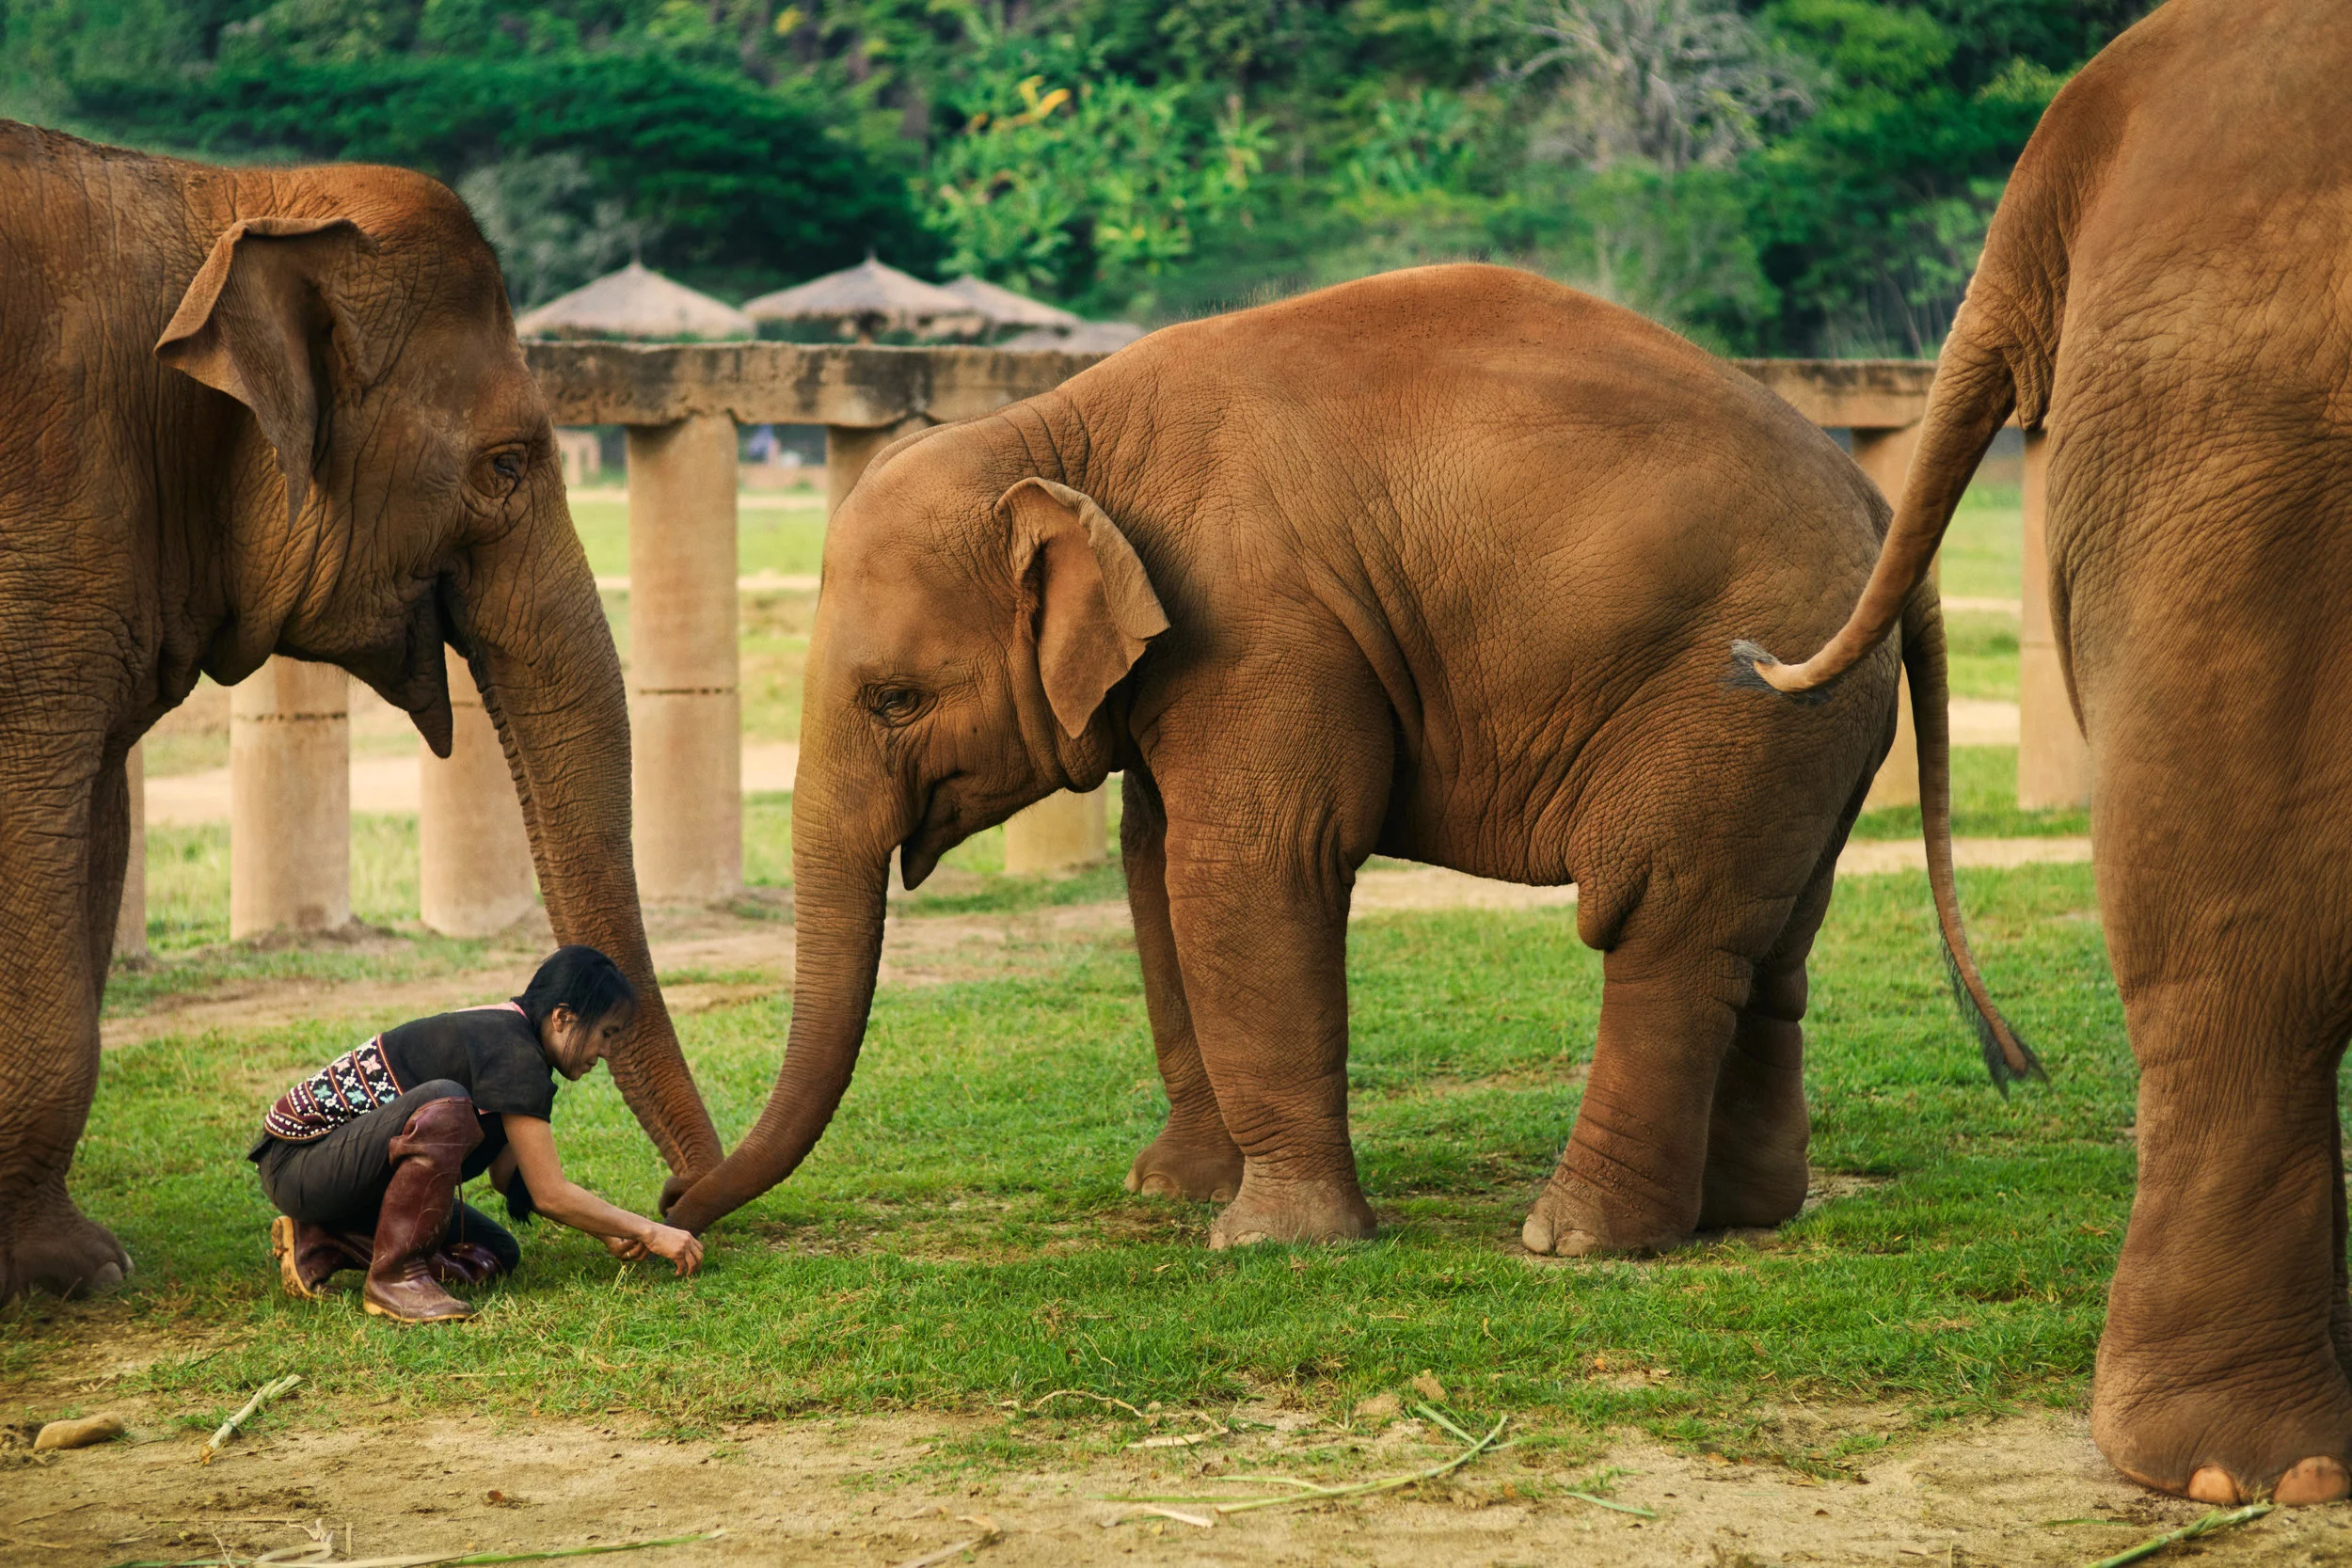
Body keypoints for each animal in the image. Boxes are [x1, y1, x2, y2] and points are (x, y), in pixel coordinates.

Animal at [0, 122, 722, 1301]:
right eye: (506, 463)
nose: (681, 1194)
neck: (222, 192)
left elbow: (91, 828)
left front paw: (68, 1259)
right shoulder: (49, 516)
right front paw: (71, 1274)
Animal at [661, 262, 2033, 1252]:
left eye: (894, 698)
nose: (672, 1215)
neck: (1059, 427)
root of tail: (1883, 517)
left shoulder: (1263, 624)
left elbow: (1248, 867)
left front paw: (1269, 1244)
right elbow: (1157, 865)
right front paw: (1170, 1193)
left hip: (1729, 695)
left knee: (1662, 920)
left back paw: (1574, 1239)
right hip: (1806, 721)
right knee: (1771, 938)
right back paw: (1737, 1217)